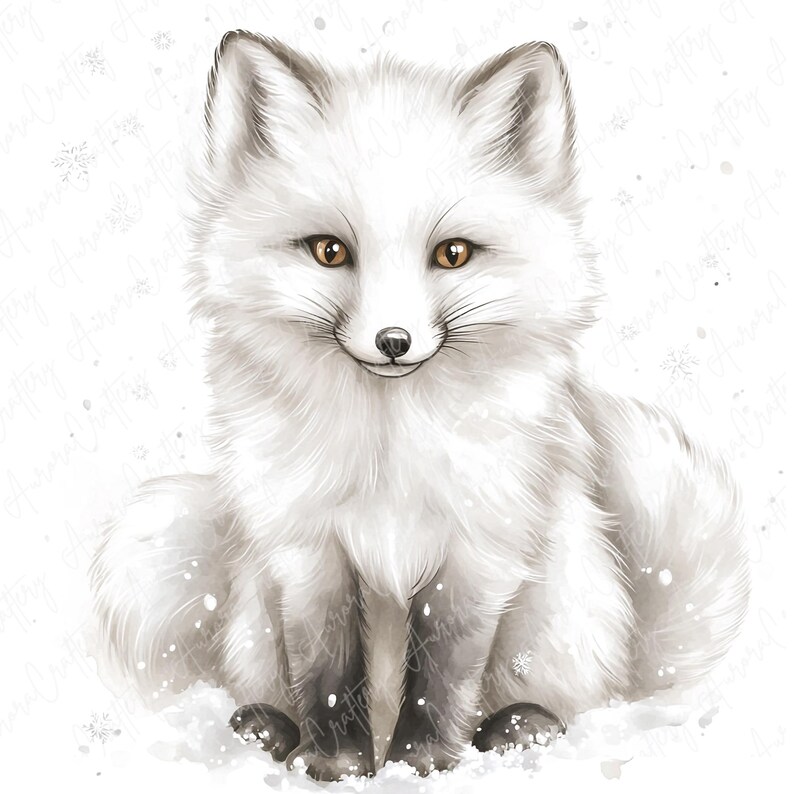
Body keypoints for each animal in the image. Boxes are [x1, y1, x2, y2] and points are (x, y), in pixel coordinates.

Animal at [89, 31, 750, 781]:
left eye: (453, 253)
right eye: (329, 251)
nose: (393, 342)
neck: (389, 455)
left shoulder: (477, 547)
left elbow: (442, 672)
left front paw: (422, 763)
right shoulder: (310, 546)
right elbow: (327, 669)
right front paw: (339, 766)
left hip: (559, 611)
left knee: (568, 699)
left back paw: (518, 727)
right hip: (250, 614)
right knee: (267, 685)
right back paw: (269, 729)